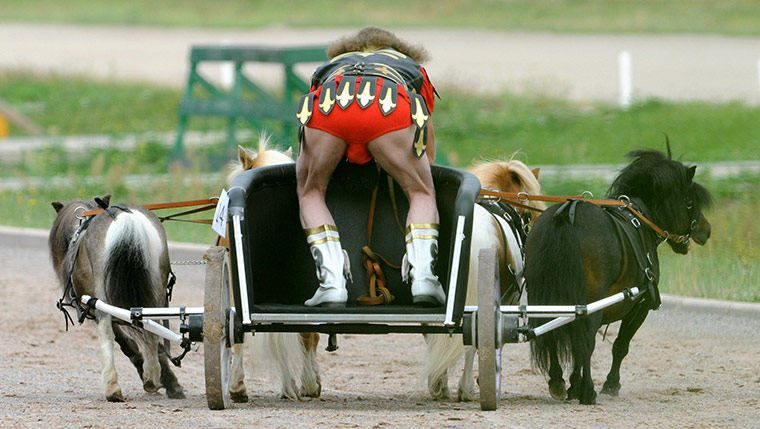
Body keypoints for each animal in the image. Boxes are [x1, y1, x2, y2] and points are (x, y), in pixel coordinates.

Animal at [49, 195, 184, 402]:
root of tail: (126, 219)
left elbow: (125, 343)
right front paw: (171, 383)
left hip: (103, 298)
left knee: (107, 333)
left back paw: (113, 388)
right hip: (156, 283)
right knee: (152, 327)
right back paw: (152, 377)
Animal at [421, 157, 545, 401]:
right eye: (528, 215)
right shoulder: (506, 302)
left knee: (430, 333)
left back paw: (438, 383)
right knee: (470, 341)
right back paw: (466, 387)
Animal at [525, 146, 712, 405]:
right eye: (690, 201)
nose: (707, 230)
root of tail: (567, 214)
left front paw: (573, 384)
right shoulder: (640, 305)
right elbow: (620, 345)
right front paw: (610, 384)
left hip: (545, 297)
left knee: (552, 332)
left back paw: (557, 382)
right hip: (590, 304)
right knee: (586, 340)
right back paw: (588, 392)